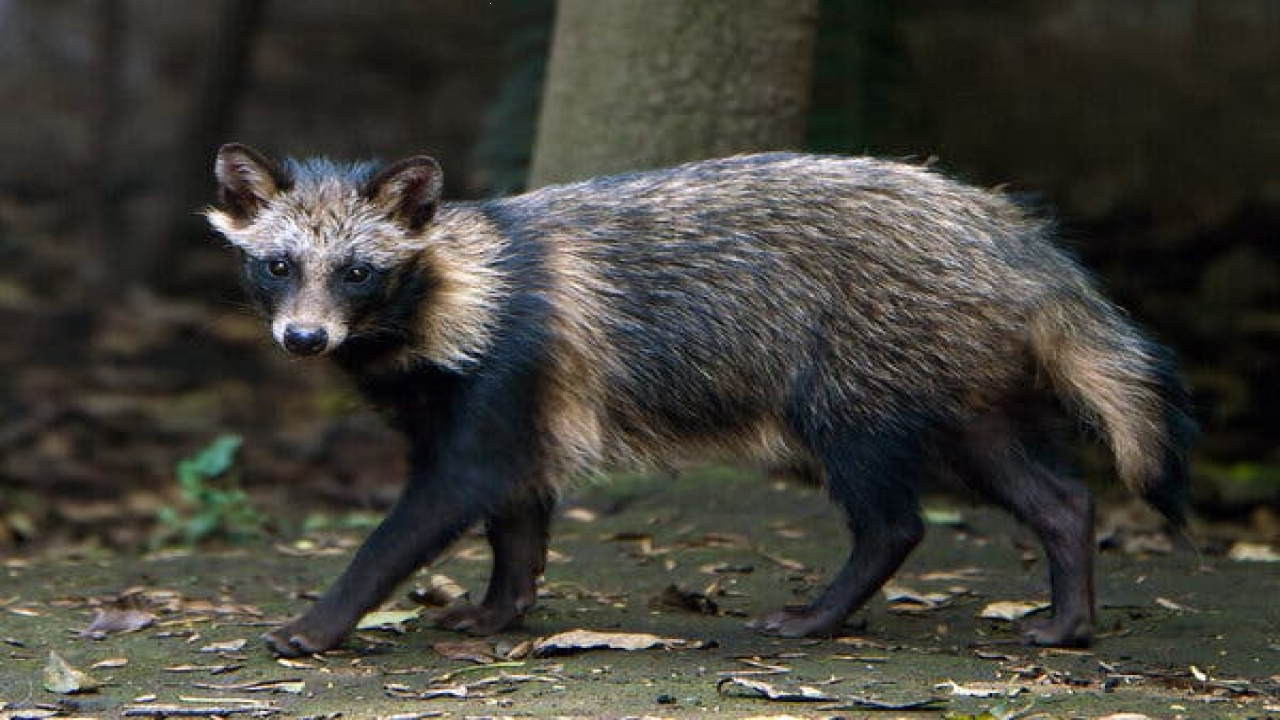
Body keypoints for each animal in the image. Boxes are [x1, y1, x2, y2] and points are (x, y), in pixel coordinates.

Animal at [207, 143, 1194, 657]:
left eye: (359, 272)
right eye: (278, 266)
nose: (304, 340)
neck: (456, 288)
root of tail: (1007, 230)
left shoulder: (503, 388)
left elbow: (413, 524)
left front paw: (321, 619)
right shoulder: (501, 413)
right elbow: (517, 524)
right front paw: (500, 608)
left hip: (853, 390)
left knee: (893, 523)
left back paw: (823, 613)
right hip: (961, 398)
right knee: (1060, 499)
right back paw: (1070, 615)